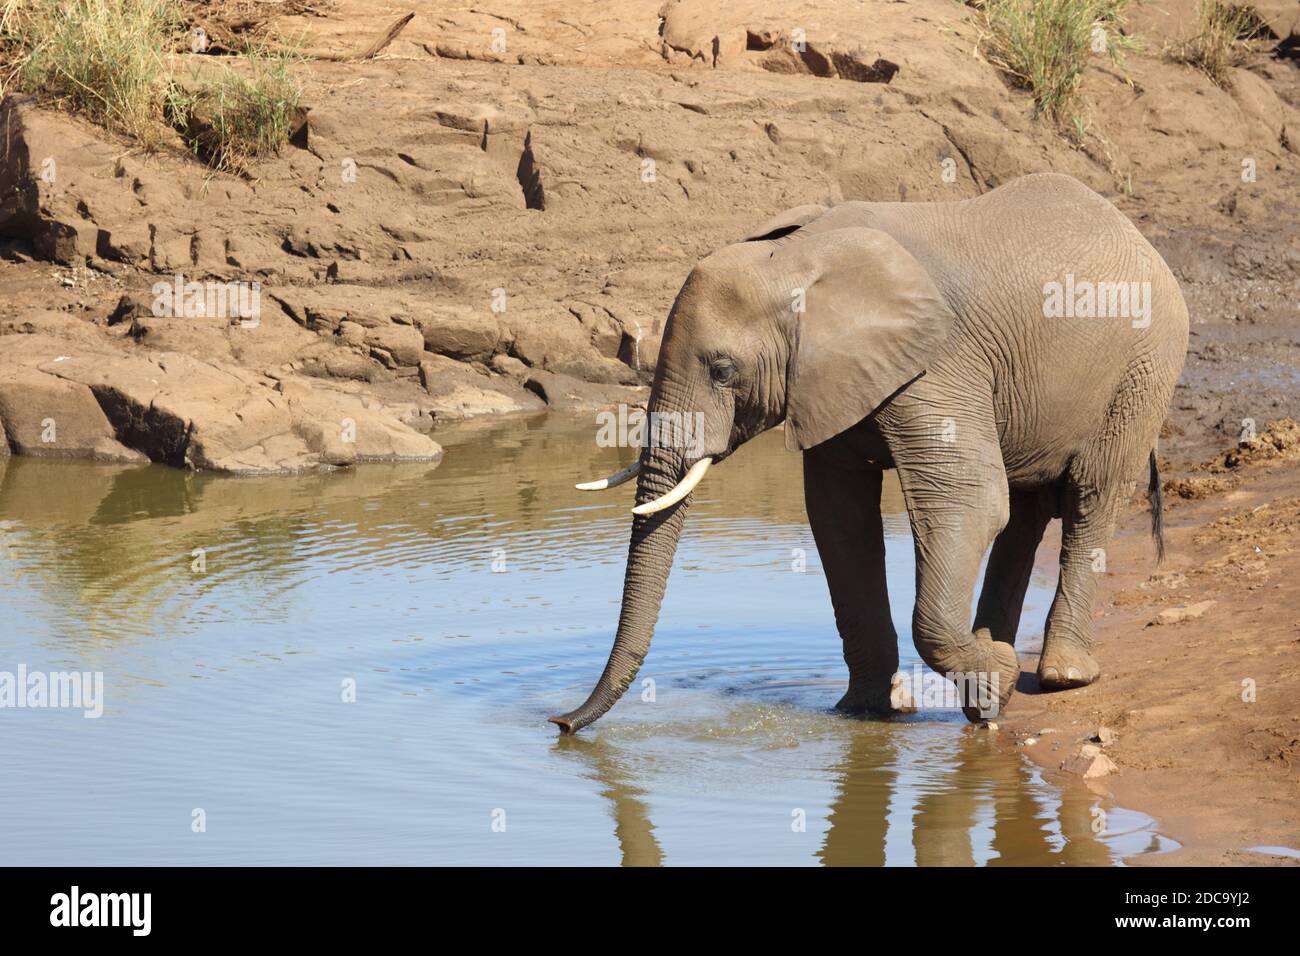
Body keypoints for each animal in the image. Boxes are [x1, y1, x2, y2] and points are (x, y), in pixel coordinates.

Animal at [551, 172, 1188, 733]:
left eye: (722, 370)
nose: (559, 723)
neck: (798, 260)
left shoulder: (938, 363)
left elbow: (966, 502)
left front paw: (994, 689)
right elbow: (839, 521)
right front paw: (866, 712)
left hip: (1144, 368)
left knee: (1089, 499)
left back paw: (1061, 677)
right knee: (1027, 512)